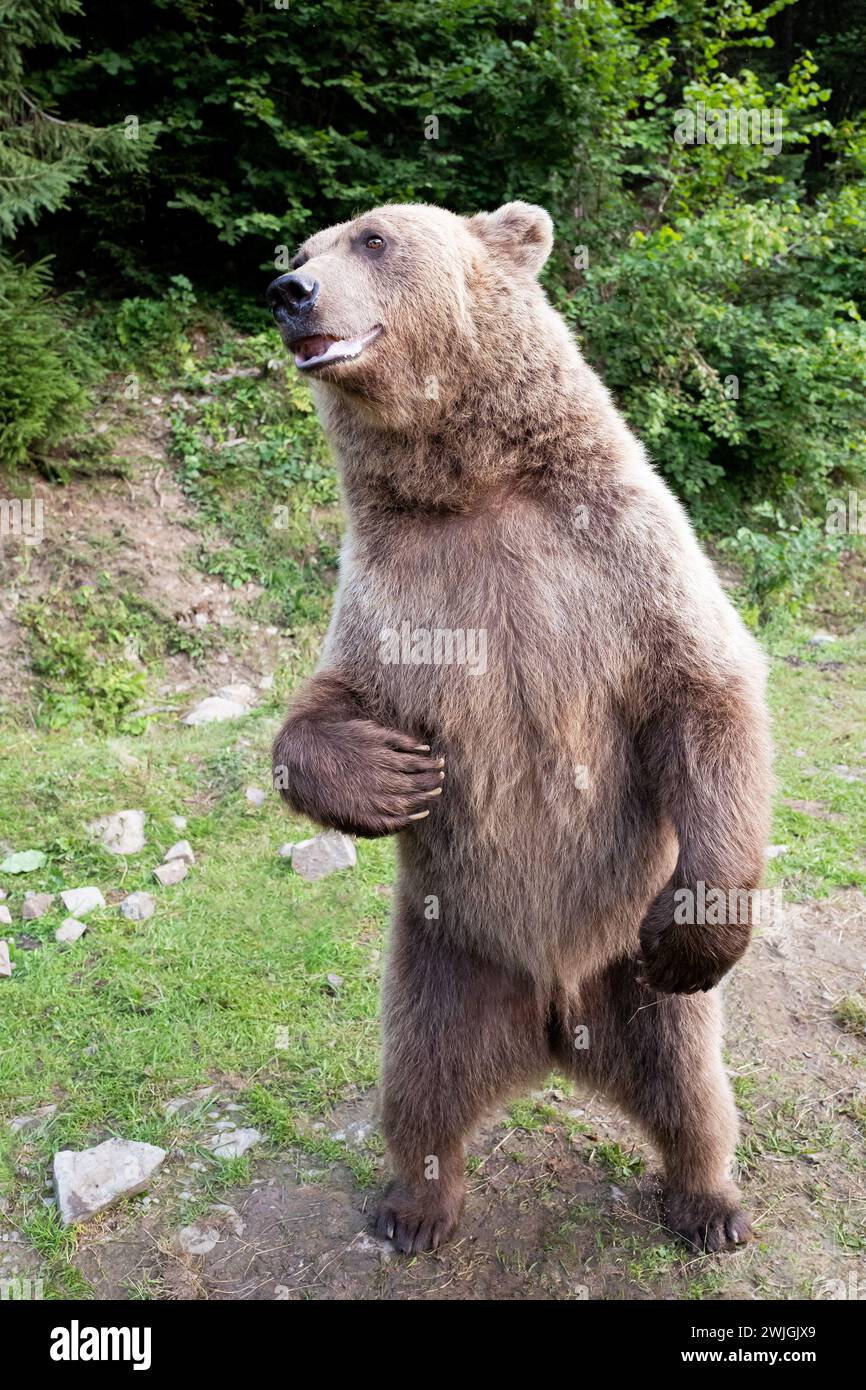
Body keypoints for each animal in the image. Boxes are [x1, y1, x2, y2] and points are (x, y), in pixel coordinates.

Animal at [267, 201, 773, 1256]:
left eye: (372, 239)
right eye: (305, 248)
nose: (288, 290)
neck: (474, 482)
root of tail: (552, 1019)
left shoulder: (619, 551)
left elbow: (704, 693)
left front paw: (704, 922)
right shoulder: (397, 591)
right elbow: (330, 702)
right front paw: (390, 774)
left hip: (629, 967)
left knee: (691, 1086)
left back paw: (710, 1204)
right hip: (445, 958)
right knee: (419, 1086)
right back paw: (415, 1207)